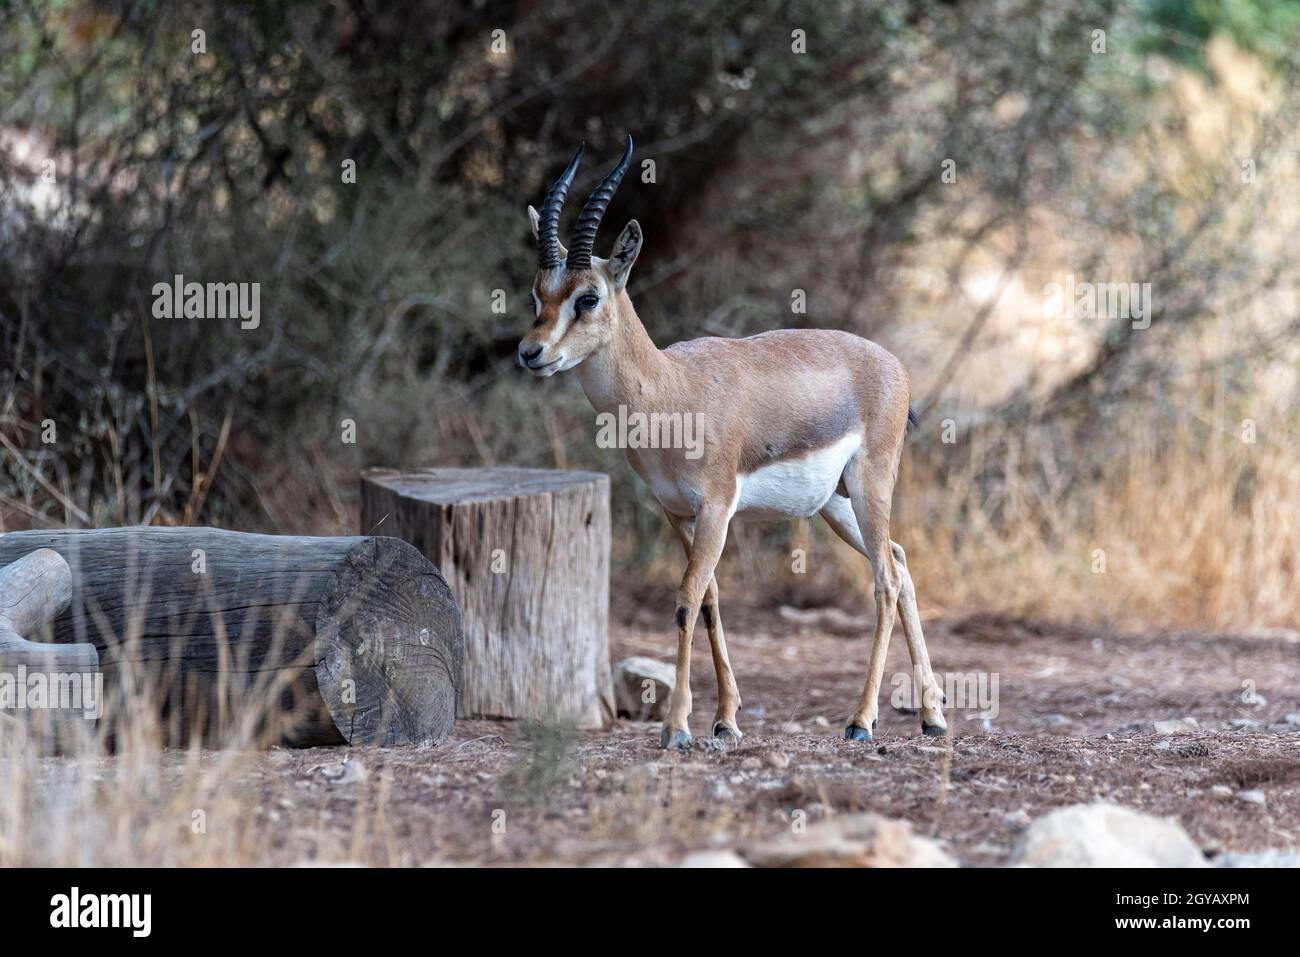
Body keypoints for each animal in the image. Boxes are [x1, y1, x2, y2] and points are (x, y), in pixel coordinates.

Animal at [519, 136, 947, 749]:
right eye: (537, 294)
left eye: (588, 297)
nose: (531, 354)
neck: (670, 390)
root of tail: (895, 365)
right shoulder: (679, 513)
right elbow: (710, 601)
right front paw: (724, 720)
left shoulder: (717, 507)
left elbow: (684, 600)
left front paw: (677, 727)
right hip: (836, 505)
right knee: (901, 561)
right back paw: (932, 715)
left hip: (870, 488)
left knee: (885, 582)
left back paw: (862, 721)